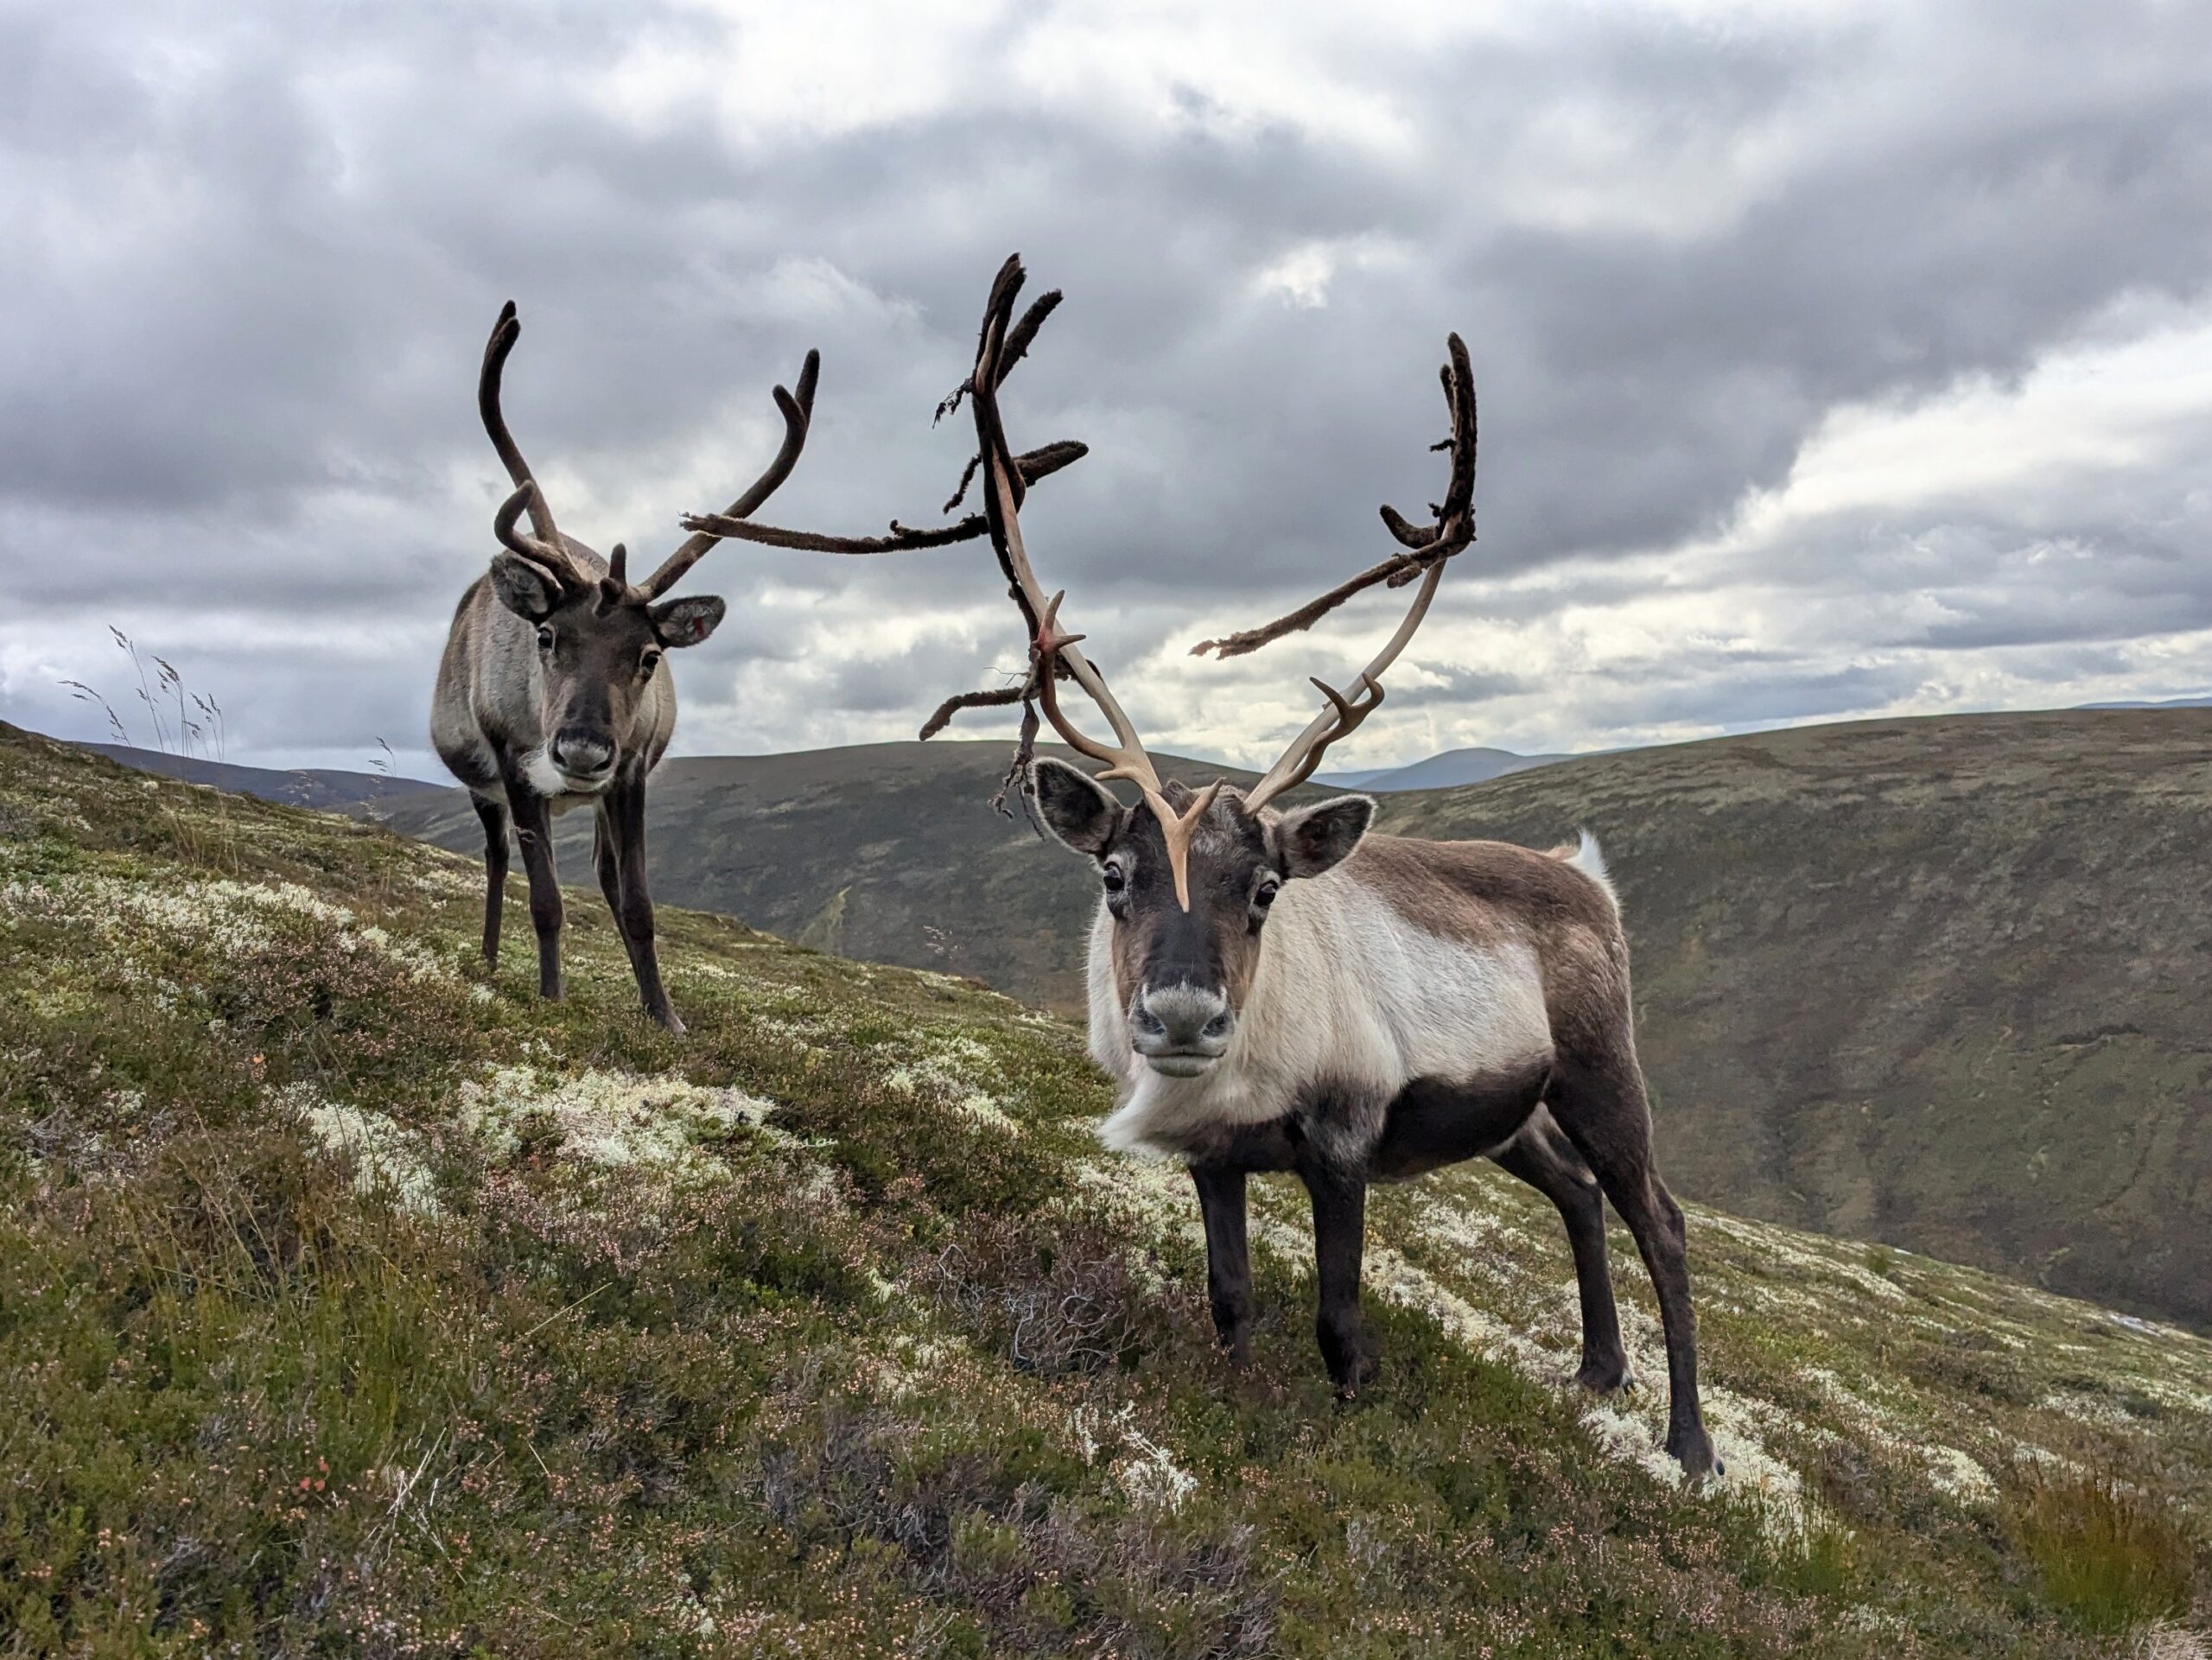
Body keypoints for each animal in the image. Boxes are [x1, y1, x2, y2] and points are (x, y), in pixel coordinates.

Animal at [429, 302, 820, 1033]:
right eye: (546, 634)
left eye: (649, 655)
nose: (582, 748)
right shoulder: (516, 765)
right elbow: (546, 900)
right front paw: (551, 998)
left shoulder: (632, 769)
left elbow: (637, 903)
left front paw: (665, 1015)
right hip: (486, 783)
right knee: (498, 858)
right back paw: (491, 959)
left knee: (605, 872)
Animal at [817, 257, 1720, 1475]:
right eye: (1114, 877)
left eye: (1264, 889)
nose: (1182, 1019)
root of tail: (1585, 876)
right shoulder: (1215, 1157)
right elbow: (1229, 1300)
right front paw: (1239, 1415)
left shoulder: (1341, 1142)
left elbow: (1339, 1324)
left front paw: (1345, 1437)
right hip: (1511, 1110)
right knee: (1577, 1193)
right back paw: (1595, 1370)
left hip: (1597, 1069)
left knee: (1657, 1218)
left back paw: (1690, 1443)